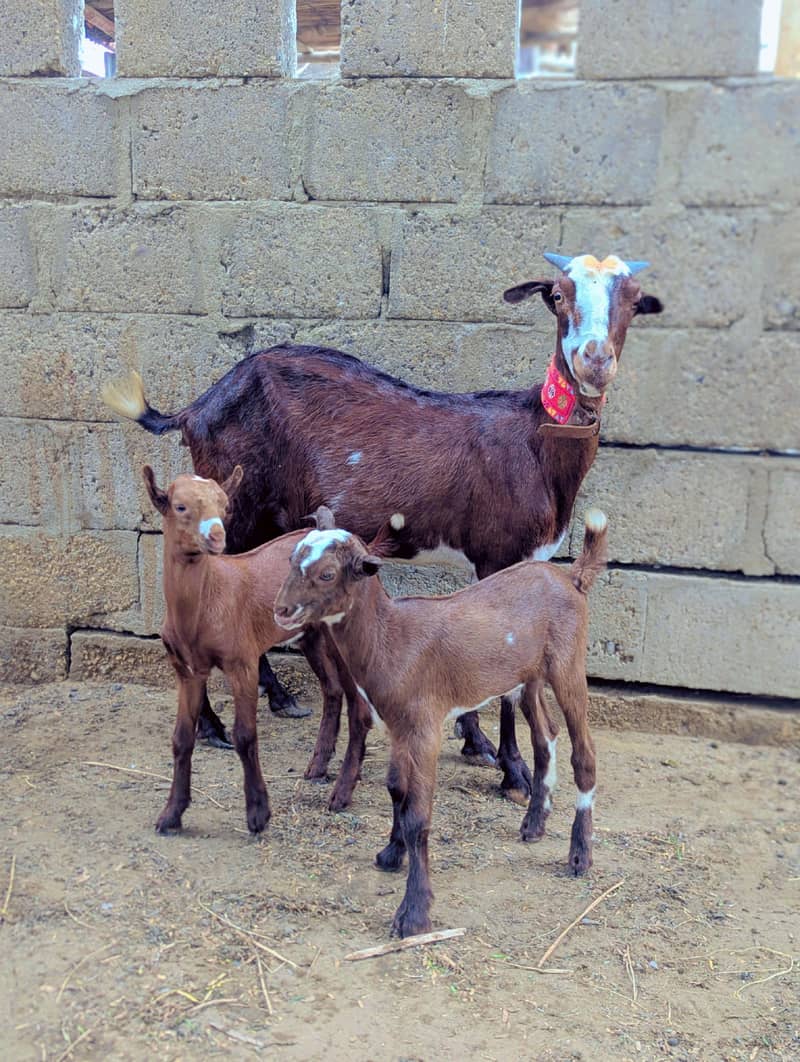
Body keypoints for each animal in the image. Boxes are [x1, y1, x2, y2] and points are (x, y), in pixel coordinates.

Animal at [143, 467, 370, 833]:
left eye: (225, 505)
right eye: (180, 507)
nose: (217, 537)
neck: (208, 598)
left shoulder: (242, 662)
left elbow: (245, 736)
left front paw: (258, 814)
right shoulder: (187, 669)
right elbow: (181, 738)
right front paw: (171, 815)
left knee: (360, 708)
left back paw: (342, 793)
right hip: (311, 634)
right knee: (332, 690)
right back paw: (317, 766)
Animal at [274, 507, 609, 937]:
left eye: (328, 574)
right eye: (291, 557)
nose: (281, 610)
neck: (391, 638)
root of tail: (572, 576)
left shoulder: (424, 727)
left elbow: (418, 816)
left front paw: (413, 914)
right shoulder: (398, 726)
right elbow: (397, 791)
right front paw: (390, 853)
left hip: (568, 662)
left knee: (583, 751)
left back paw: (580, 856)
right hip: (528, 675)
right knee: (545, 737)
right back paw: (534, 824)